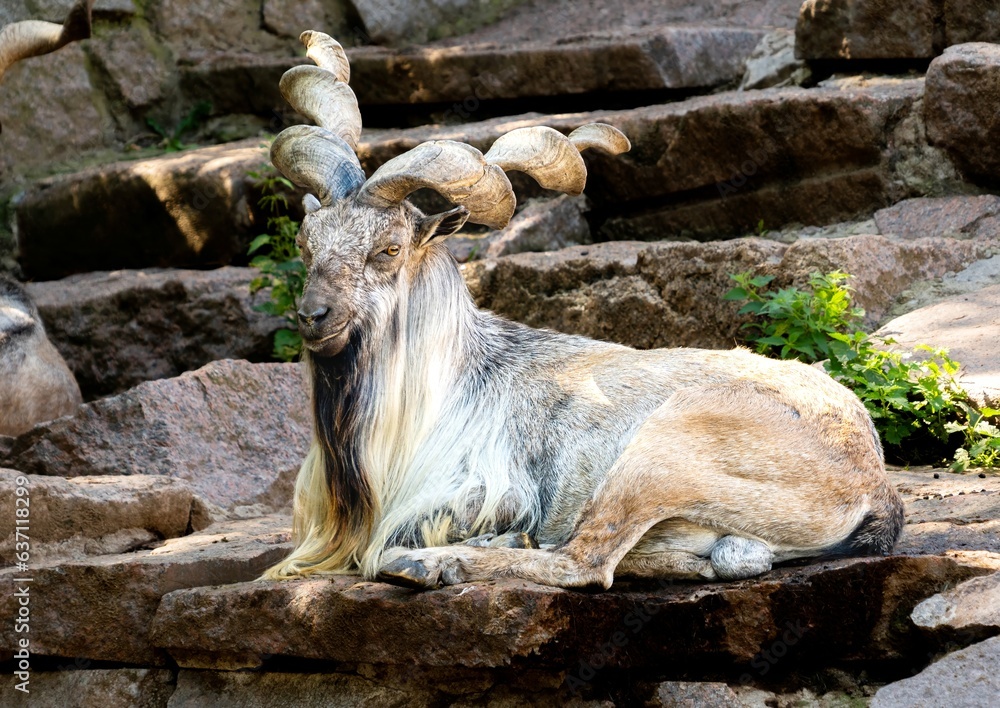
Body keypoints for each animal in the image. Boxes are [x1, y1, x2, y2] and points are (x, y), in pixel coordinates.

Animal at [262, 32, 904, 589]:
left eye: (388, 249)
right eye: (307, 243)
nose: (314, 315)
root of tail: (873, 481)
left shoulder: (476, 490)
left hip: (660, 453)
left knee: (586, 561)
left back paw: (436, 565)